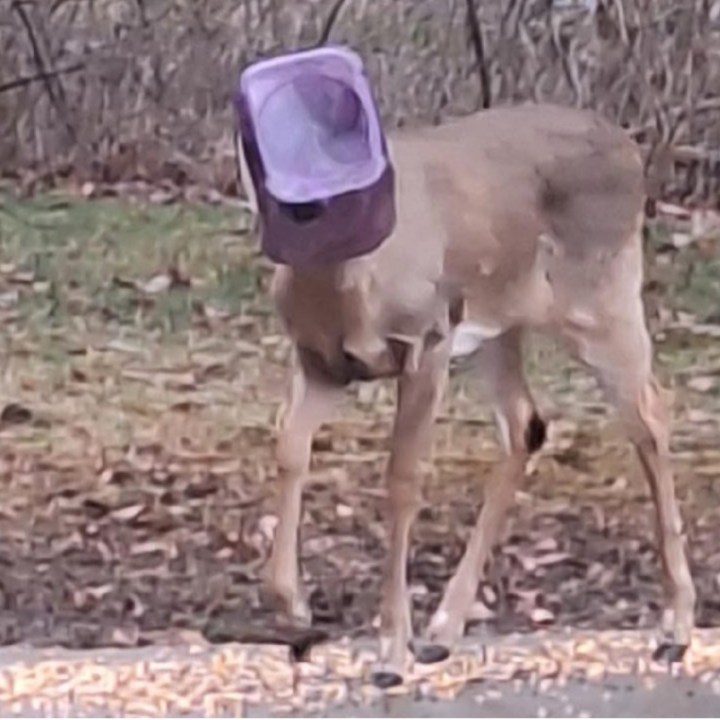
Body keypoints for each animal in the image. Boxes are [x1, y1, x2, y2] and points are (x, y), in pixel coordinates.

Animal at [247, 102, 696, 687]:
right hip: (499, 325)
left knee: (650, 417)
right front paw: (294, 612)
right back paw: (443, 631)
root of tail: (628, 147)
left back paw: (675, 628)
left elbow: (402, 479)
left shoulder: (428, 340)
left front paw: (391, 650)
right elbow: (289, 449)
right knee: (526, 424)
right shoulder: (319, 361)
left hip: (601, 297)